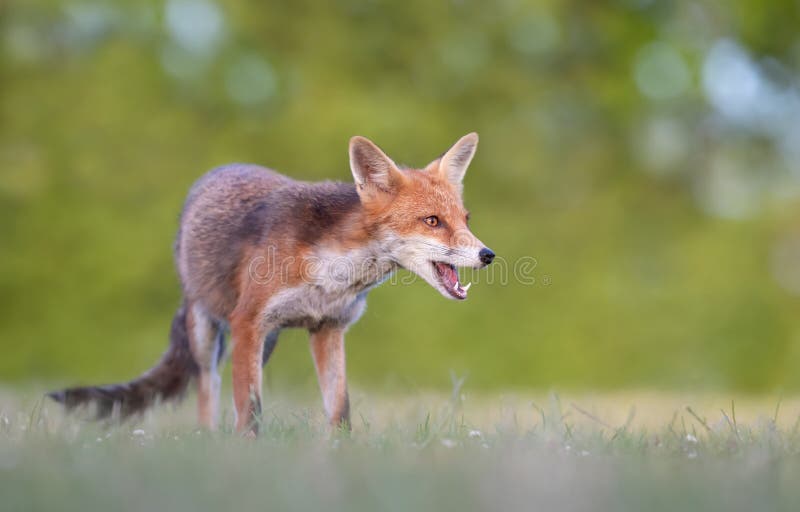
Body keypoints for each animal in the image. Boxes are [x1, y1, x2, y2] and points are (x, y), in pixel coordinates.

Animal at [49, 133, 495, 435]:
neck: (333, 273)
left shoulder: (328, 329)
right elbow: (251, 413)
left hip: (265, 344)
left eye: (466, 219)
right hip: (209, 331)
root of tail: (222, 168)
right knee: (208, 388)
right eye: (432, 221)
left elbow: (339, 410)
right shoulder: (248, 322)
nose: (488, 254)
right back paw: (206, 441)